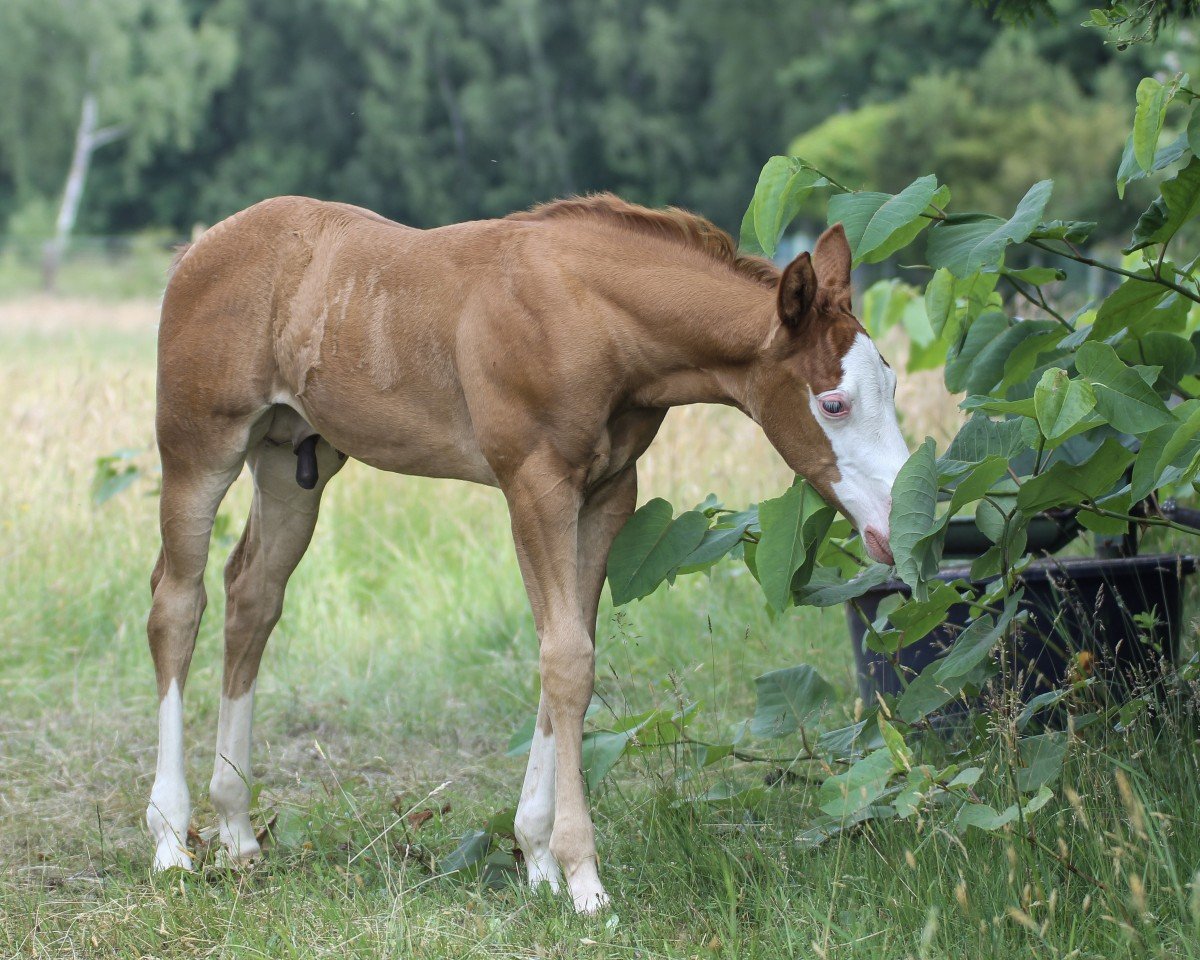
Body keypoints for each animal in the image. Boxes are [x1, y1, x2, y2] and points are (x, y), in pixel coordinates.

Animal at [145, 192, 909, 912]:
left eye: (894, 384)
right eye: (834, 403)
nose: (892, 532)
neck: (592, 316)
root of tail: (196, 249)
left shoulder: (608, 494)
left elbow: (569, 648)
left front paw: (538, 858)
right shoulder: (535, 486)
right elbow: (567, 658)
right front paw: (583, 877)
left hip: (291, 460)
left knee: (251, 596)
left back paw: (237, 831)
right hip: (198, 450)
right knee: (176, 605)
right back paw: (172, 840)